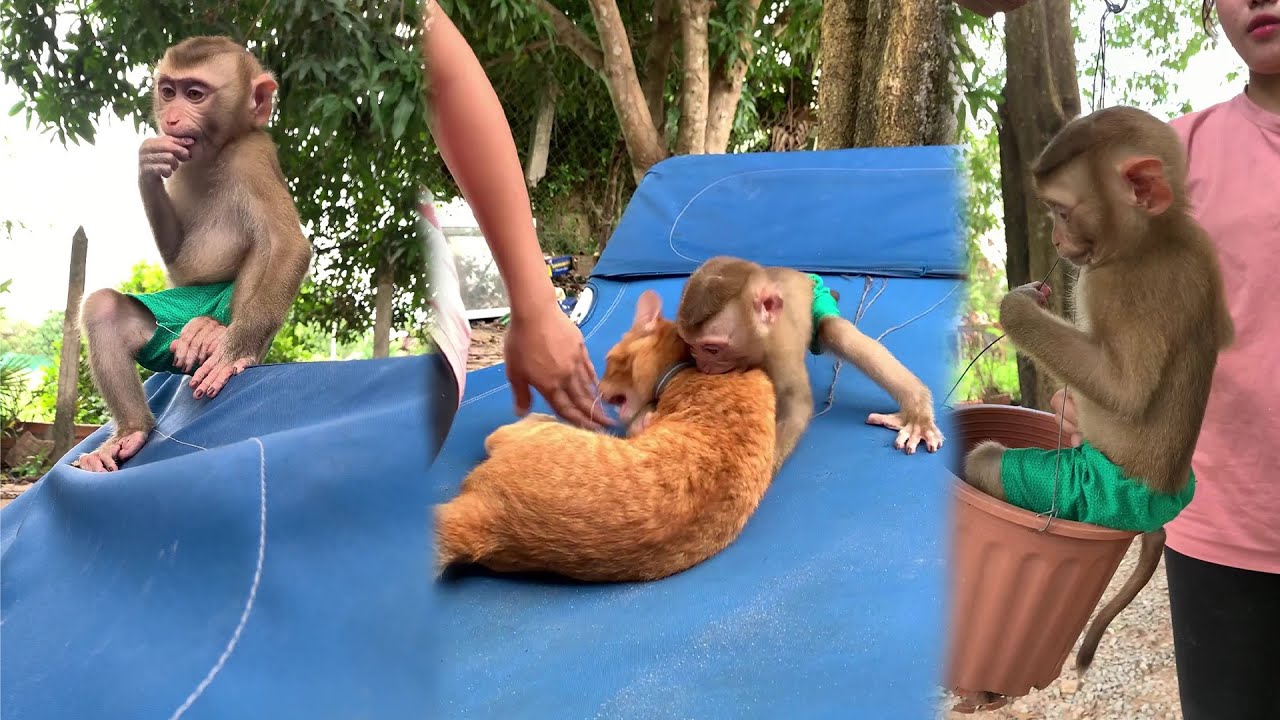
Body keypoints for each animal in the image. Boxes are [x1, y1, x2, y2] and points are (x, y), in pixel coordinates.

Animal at [74, 36, 312, 472]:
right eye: (168, 92)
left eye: (195, 94)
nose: (170, 120)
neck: (218, 150)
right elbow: (176, 258)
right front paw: (147, 165)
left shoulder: (253, 154)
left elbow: (288, 246)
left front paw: (233, 351)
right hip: (165, 342)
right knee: (104, 309)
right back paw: (133, 430)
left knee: (264, 245)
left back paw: (213, 333)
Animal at [671, 256, 944, 474]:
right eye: (693, 348)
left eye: (712, 349)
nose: (704, 366)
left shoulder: (782, 348)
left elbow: (797, 405)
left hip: (818, 296)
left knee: (834, 330)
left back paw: (917, 412)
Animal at [960, 106, 1234, 673]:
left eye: (1061, 212)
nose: (1057, 243)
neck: (1156, 234)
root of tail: (1164, 494)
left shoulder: (1117, 286)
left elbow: (1124, 391)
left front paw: (1017, 307)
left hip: (1095, 492)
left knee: (992, 462)